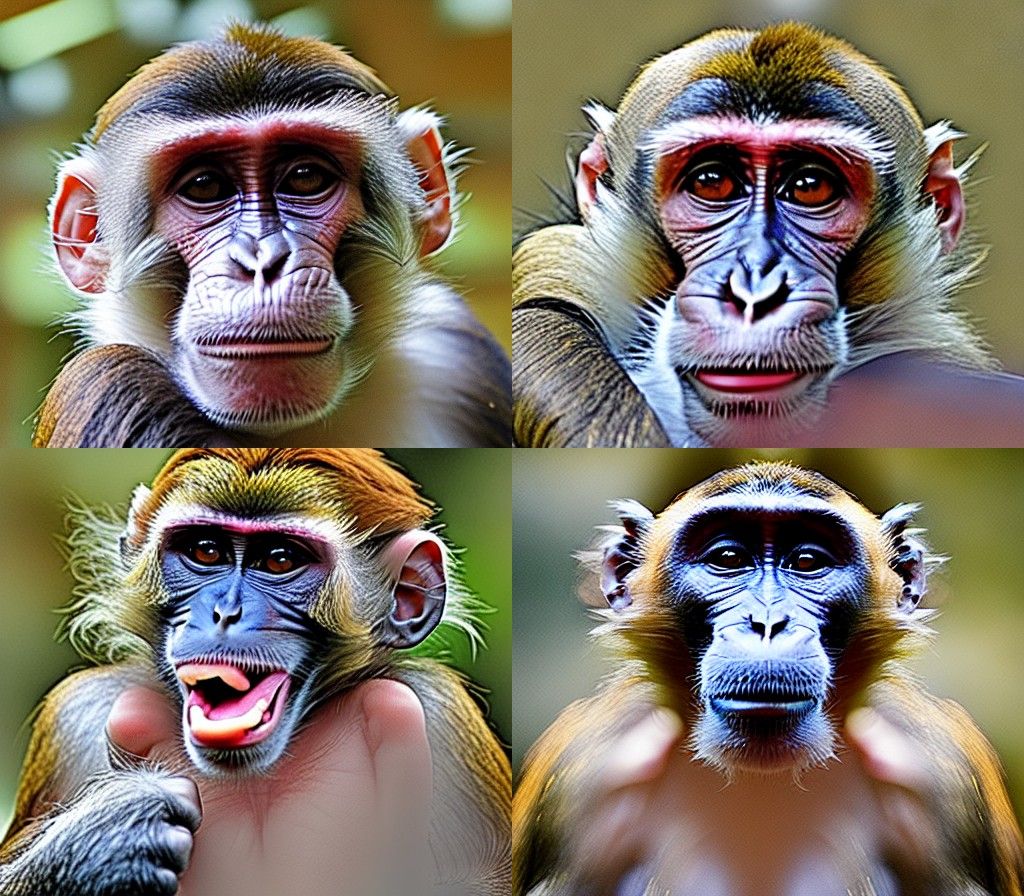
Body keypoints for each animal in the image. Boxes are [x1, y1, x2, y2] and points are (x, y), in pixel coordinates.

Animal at [0, 449, 511, 895]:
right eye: (206, 552)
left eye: (280, 560)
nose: (226, 612)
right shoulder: (76, 715)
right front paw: (100, 846)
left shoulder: (440, 716)